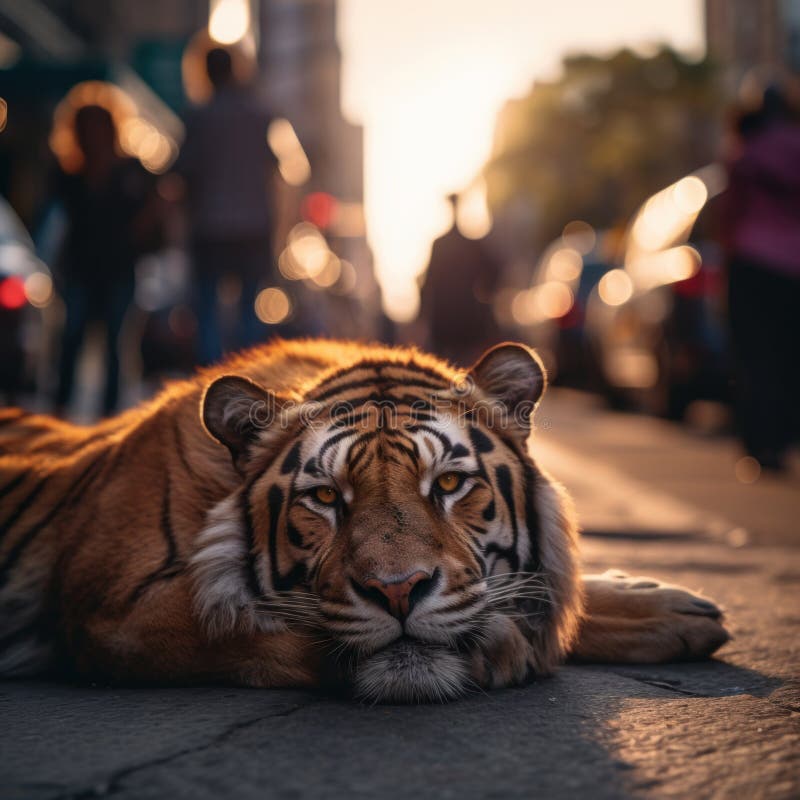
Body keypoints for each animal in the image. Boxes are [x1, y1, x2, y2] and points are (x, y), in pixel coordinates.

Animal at [0, 339, 728, 702]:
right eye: (325, 497)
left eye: (450, 484)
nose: (397, 591)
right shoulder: (115, 608)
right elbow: (260, 623)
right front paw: (499, 645)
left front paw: (673, 610)